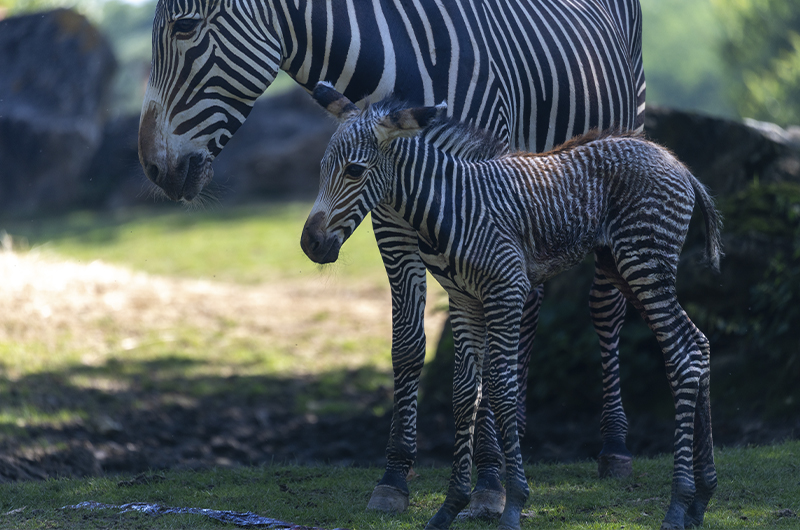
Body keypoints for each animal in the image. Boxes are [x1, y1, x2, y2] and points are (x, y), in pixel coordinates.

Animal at [137, 0, 646, 514]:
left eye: (185, 27)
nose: (153, 170)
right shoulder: (391, 216)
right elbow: (408, 346)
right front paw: (396, 476)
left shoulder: (480, 181)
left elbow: (477, 356)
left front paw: (487, 481)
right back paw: (516, 433)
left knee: (604, 308)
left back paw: (614, 448)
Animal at [302, 83, 721, 530]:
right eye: (323, 167)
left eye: (354, 171)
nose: (310, 244)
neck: (452, 205)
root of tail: (675, 161)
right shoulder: (464, 301)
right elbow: (464, 395)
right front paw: (449, 507)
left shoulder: (507, 292)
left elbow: (501, 390)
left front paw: (513, 503)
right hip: (625, 267)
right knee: (698, 345)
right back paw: (700, 500)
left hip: (644, 263)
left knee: (682, 357)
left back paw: (678, 504)